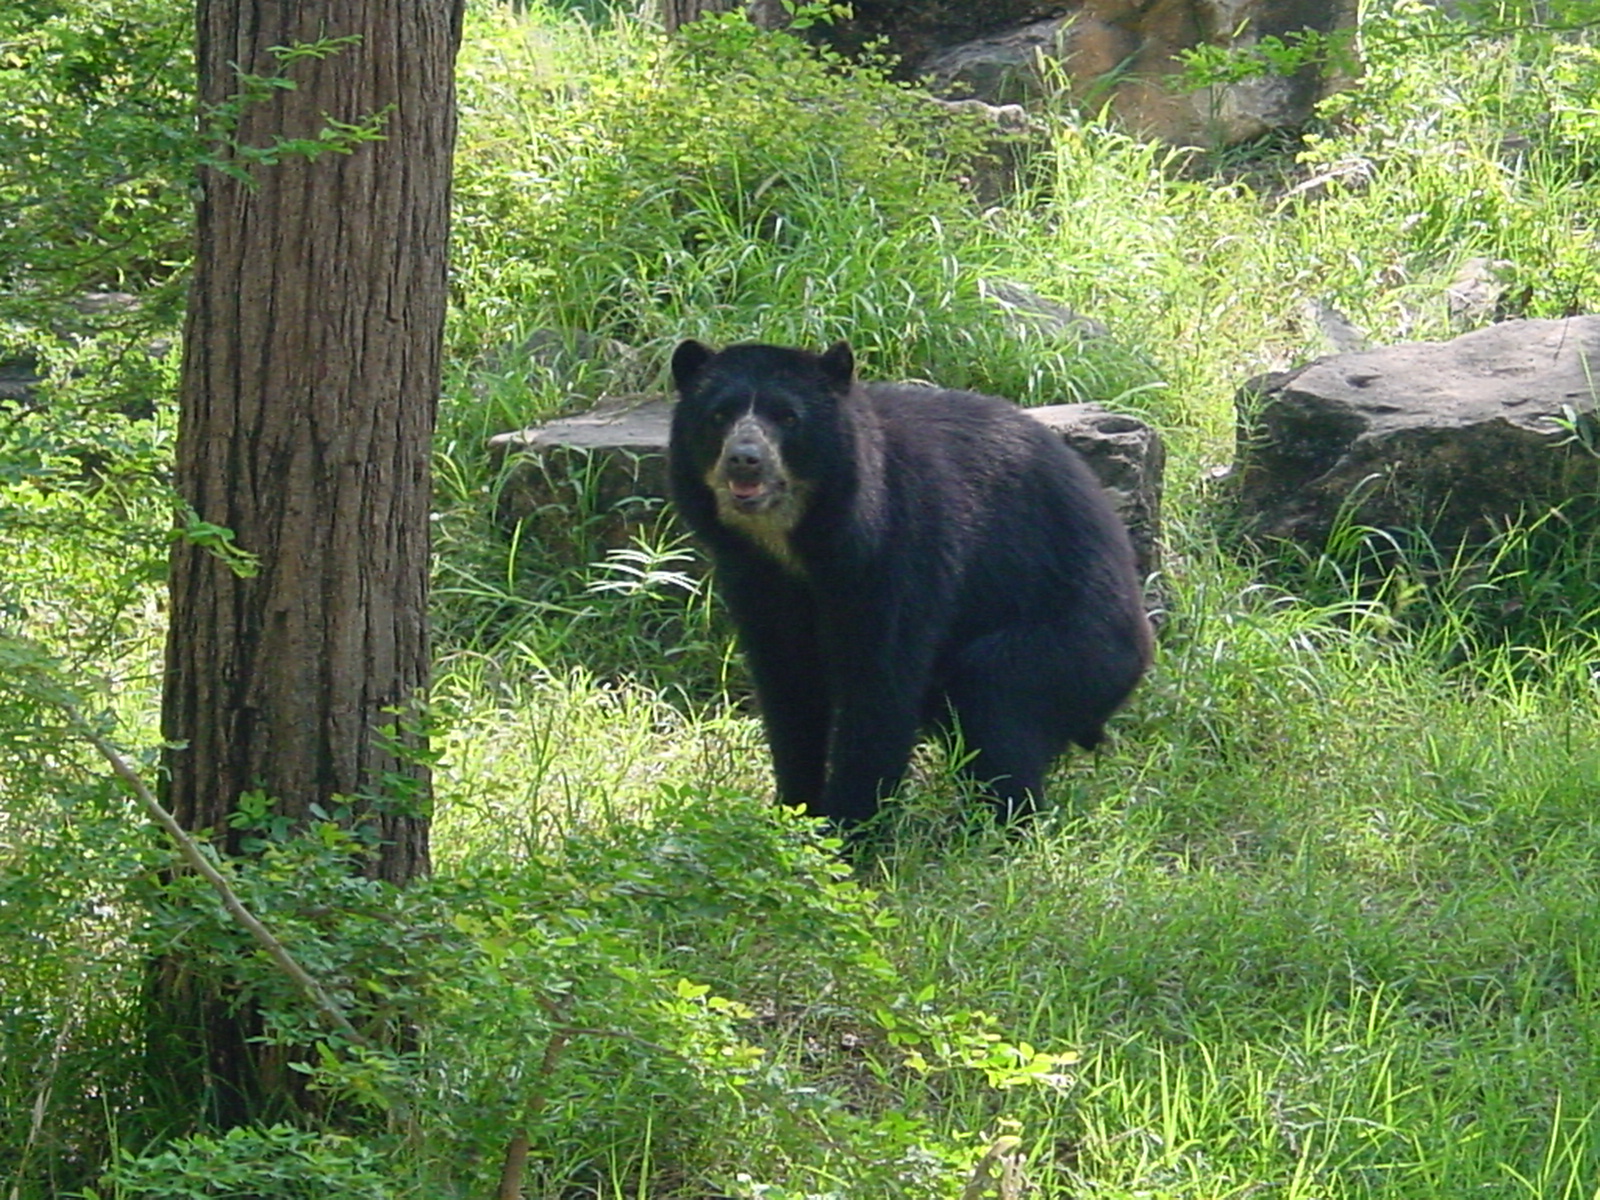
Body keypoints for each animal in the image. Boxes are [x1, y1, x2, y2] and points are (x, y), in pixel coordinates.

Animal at [668, 338, 1152, 828]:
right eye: (718, 415)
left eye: (788, 418)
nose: (744, 460)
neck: (797, 540)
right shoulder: (756, 577)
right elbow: (788, 682)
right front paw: (793, 810)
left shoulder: (898, 552)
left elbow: (881, 682)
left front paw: (850, 826)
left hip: (1075, 645)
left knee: (995, 697)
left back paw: (998, 822)